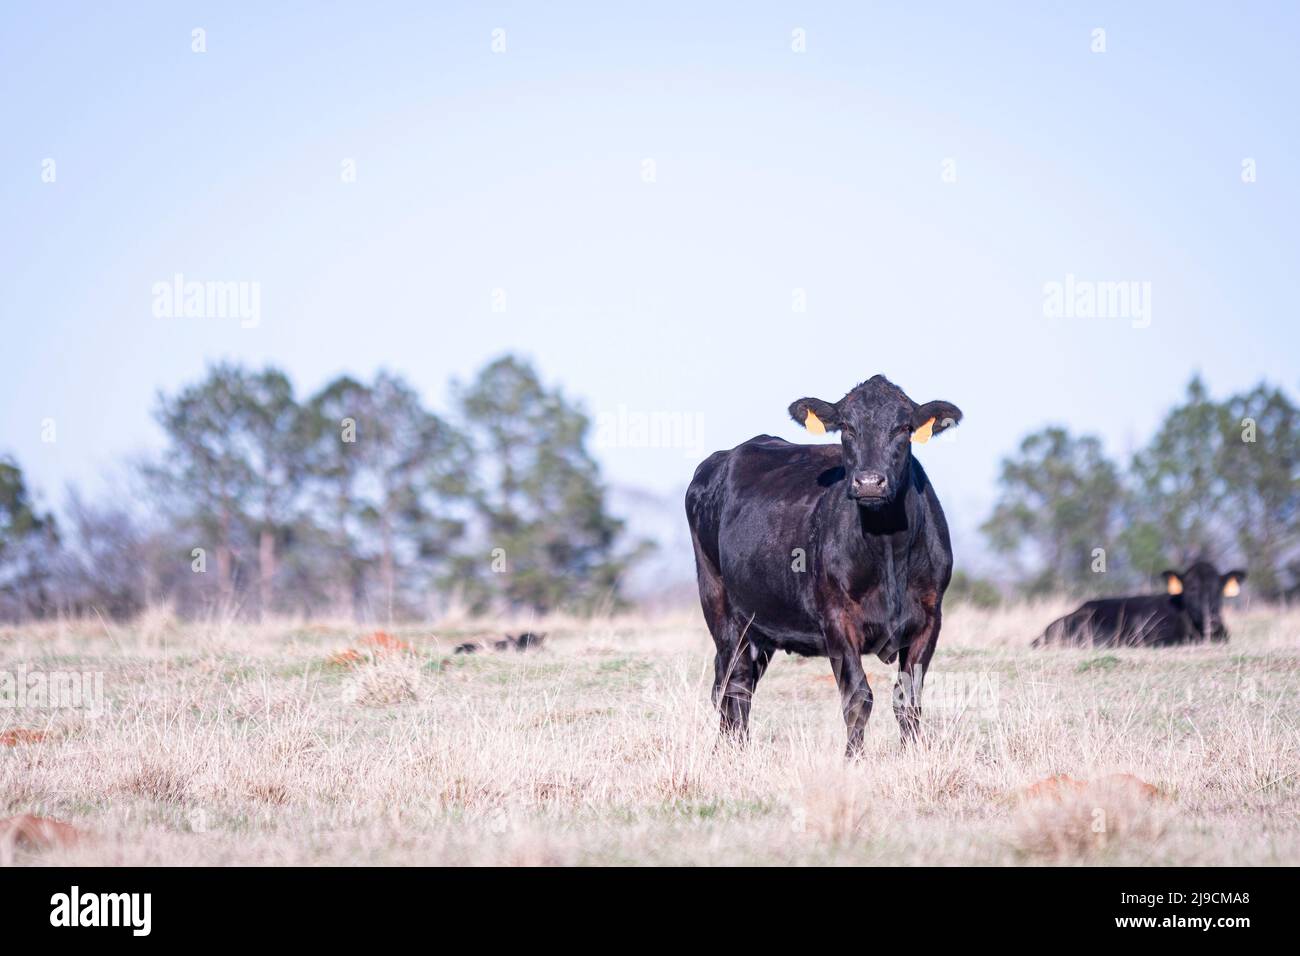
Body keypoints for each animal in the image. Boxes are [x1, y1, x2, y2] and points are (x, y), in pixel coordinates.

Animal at [685, 375, 962, 756]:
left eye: (904, 428)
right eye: (846, 427)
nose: (869, 482)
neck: (887, 546)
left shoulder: (929, 618)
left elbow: (907, 697)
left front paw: (913, 755)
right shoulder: (837, 618)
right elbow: (858, 697)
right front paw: (853, 759)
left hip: (762, 623)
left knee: (733, 684)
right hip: (719, 601)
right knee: (735, 682)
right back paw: (734, 752)